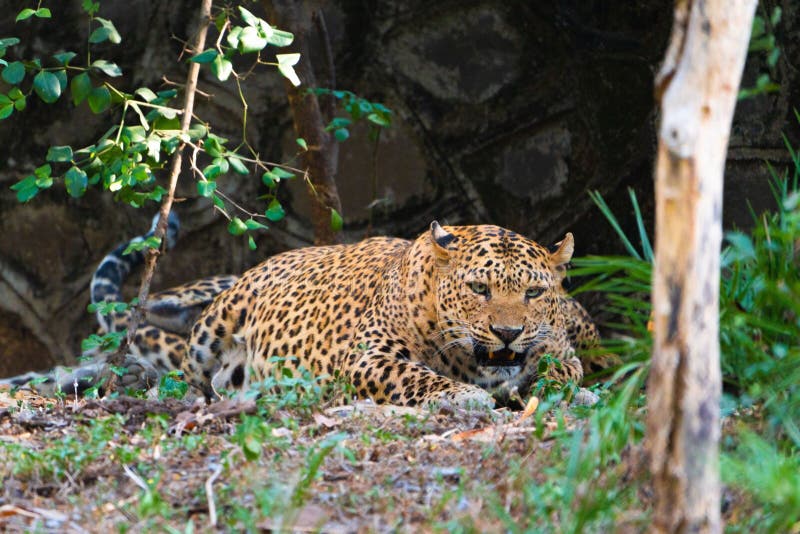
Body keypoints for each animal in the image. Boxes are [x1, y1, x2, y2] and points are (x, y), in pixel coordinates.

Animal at [2, 216, 605, 408]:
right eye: (479, 288)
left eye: (533, 295)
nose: (506, 333)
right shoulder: (367, 359)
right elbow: (420, 377)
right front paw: (462, 394)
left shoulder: (556, 341)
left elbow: (564, 364)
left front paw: (558, 384)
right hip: (211, 327)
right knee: (188, 376)